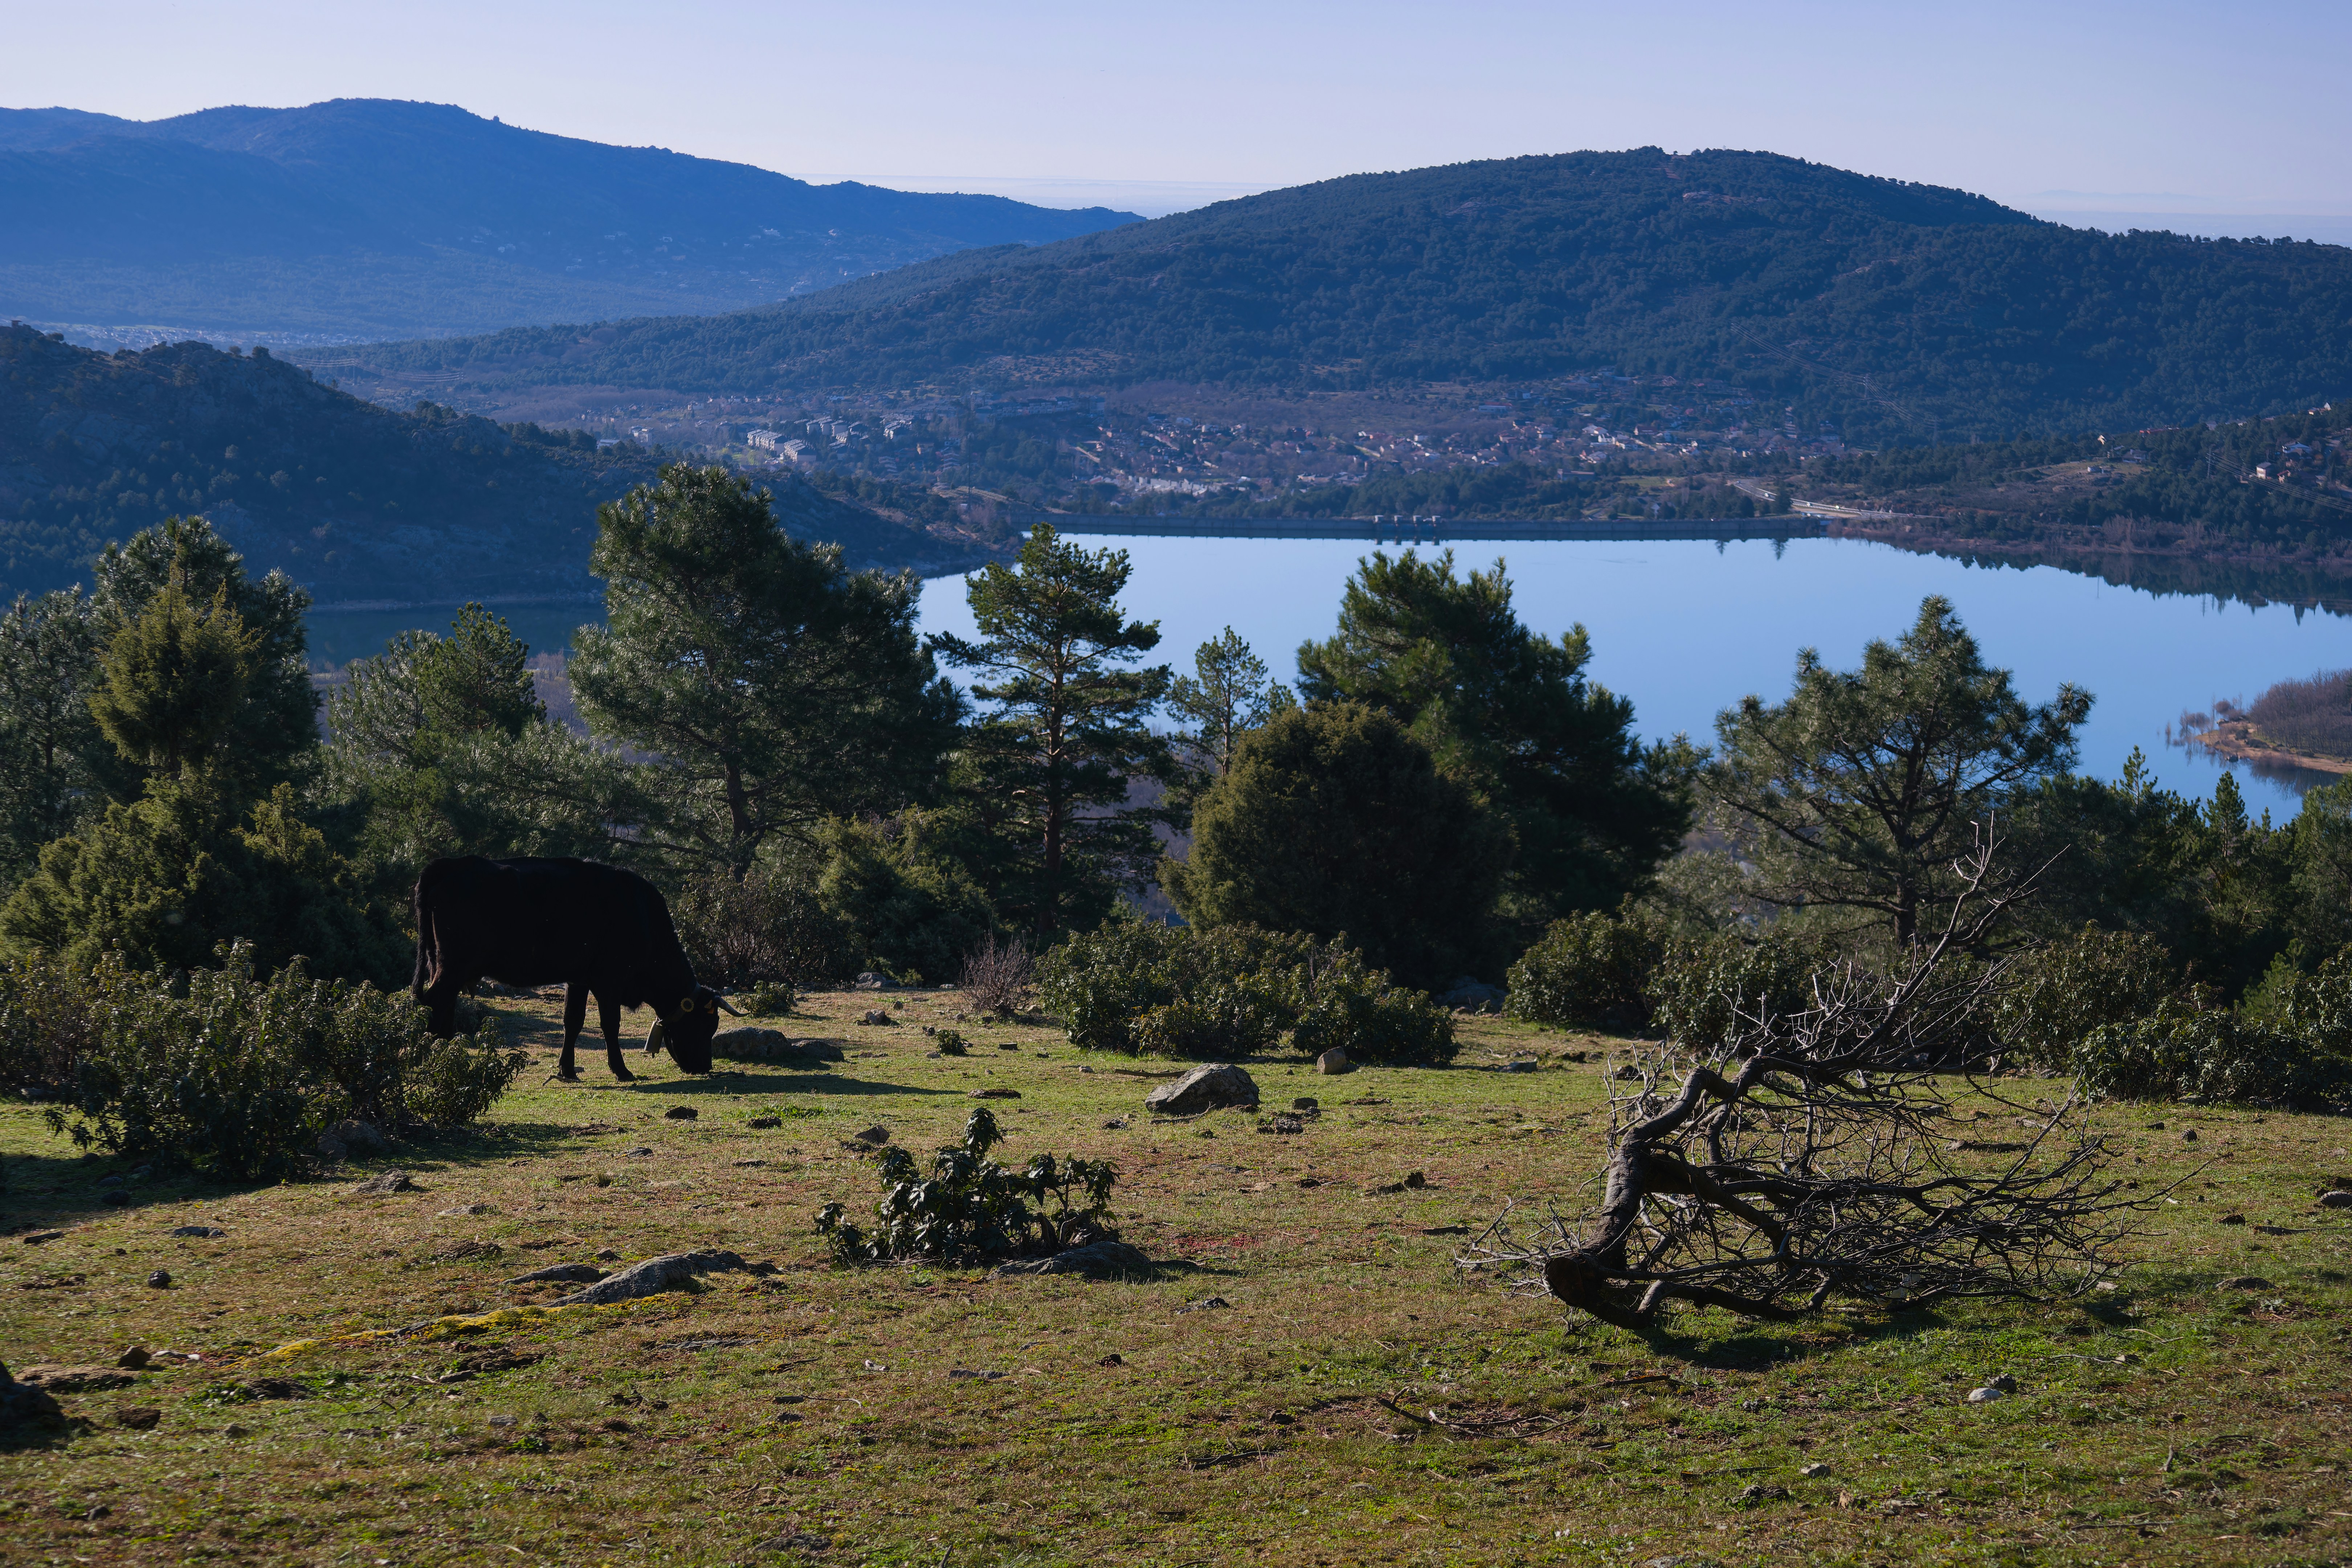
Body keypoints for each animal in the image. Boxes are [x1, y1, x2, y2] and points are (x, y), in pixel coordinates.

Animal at [411, 855, 738, 1081]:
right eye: (707, 1024)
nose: (705, 1067)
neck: (644, 918)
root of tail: (450, 864)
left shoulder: (578, 980)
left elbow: (573, 1021)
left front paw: (567, 1069)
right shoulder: (609, 981)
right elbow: (610, 1024)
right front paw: (622, 1070)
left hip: (444, 967)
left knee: (442, 1006)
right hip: (451, 968)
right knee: (432, 1003)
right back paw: (433, 1056)